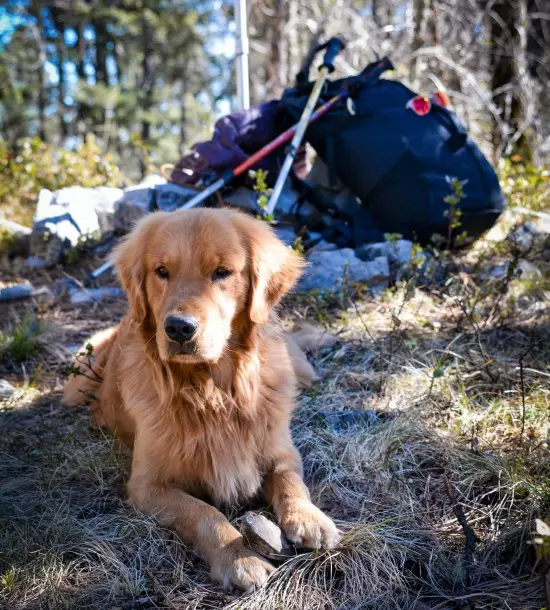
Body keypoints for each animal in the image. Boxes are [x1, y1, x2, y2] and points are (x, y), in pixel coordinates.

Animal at [64, 207, 340, 588]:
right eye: (161, 271)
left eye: (221, 272)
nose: (179, 328)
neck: (212, 392)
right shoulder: (147, 485)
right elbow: (203, 512)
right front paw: (238, 557)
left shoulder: (280, 449)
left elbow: (290, 480)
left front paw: (309, 517)